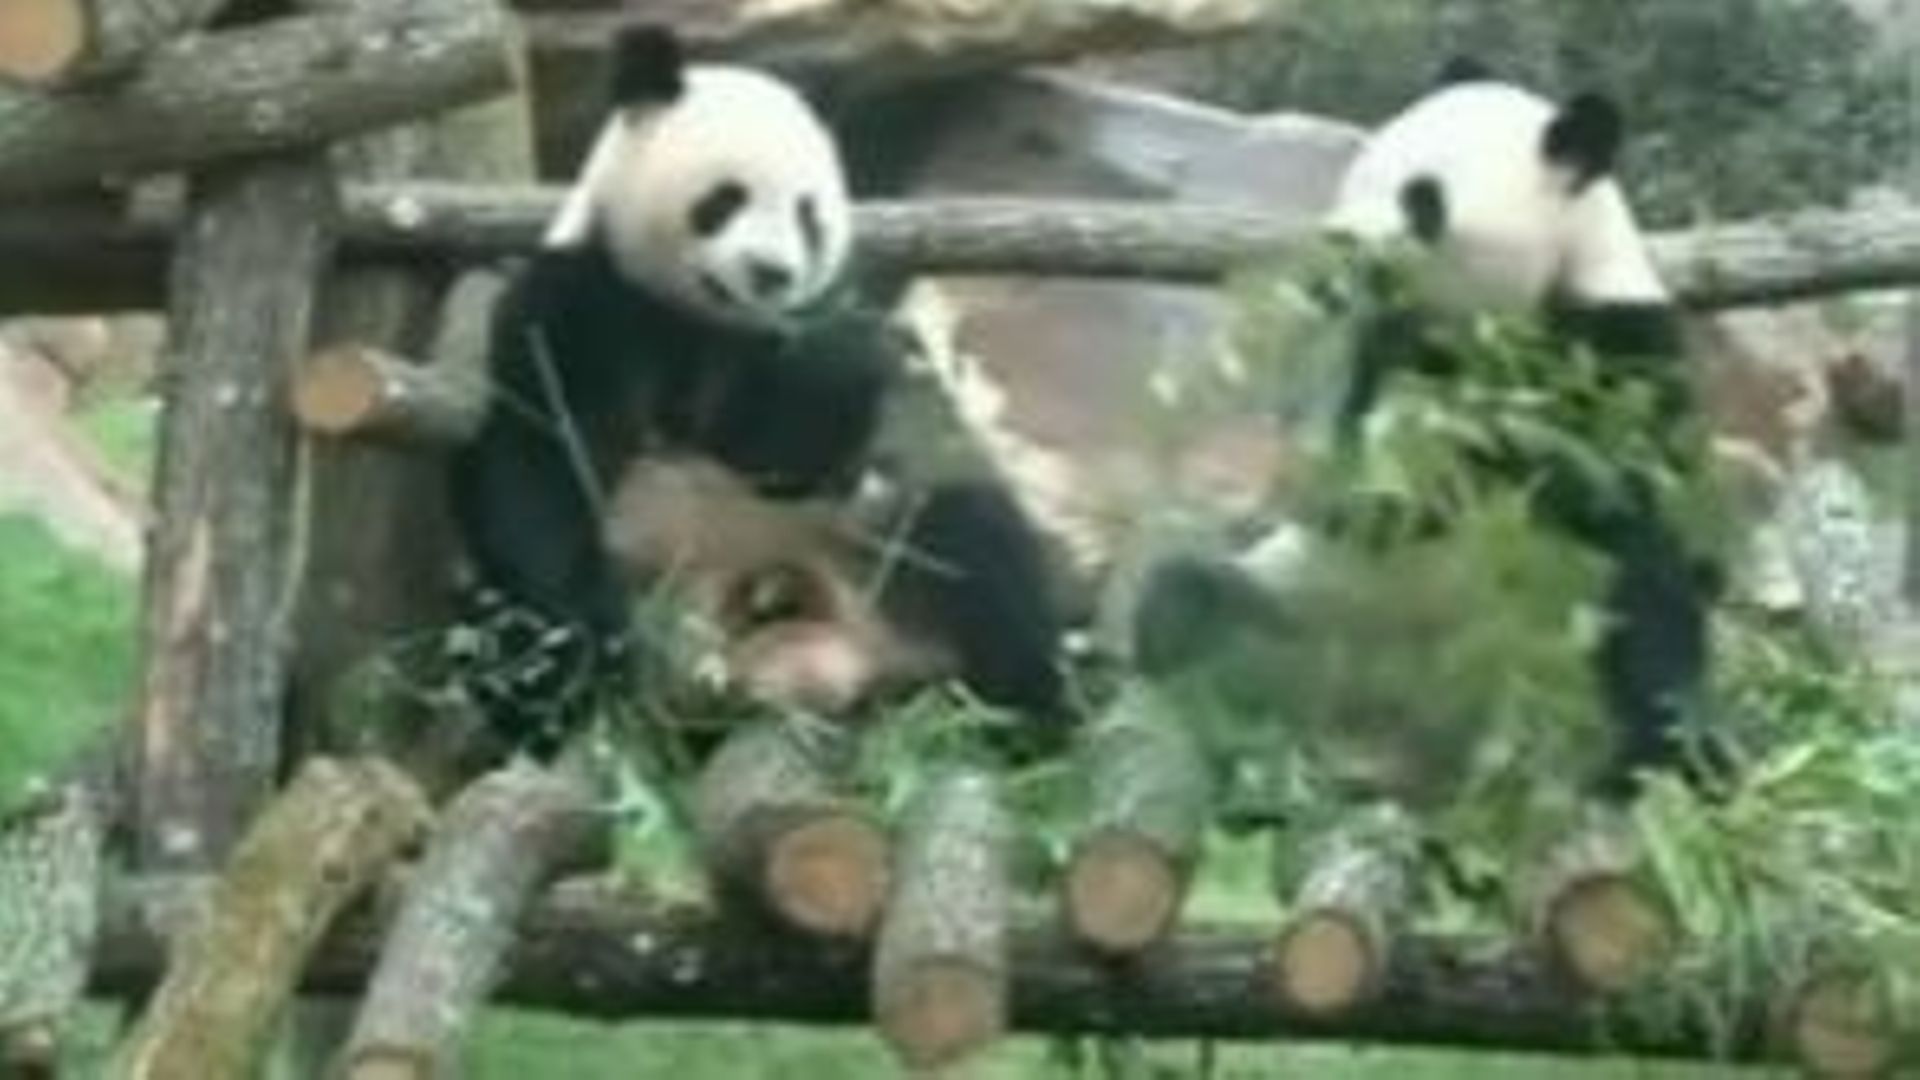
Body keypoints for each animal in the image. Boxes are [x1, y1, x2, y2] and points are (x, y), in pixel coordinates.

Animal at [448, 25, 1067, 757]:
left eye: (808, 214)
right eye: (726, 199)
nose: (772, 273)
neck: (702, 320)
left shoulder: (792, 347)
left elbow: (792, 439)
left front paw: (834, 358)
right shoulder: (588, 300)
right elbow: (545, 452)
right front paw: (580, 641)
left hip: (880, 539)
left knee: (975, 547)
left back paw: (1028, 717)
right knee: (502, 631)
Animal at [1135, 62, 1717, 794]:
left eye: (1423, 201)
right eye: (1356, 173)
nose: (1336, 246)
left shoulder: (1612, 354)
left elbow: (1603, 486)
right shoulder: (1377, 356)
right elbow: (1352, 492)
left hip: (1542, 646)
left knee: (1638, 641)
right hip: (1301, 607)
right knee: (1196, 609)